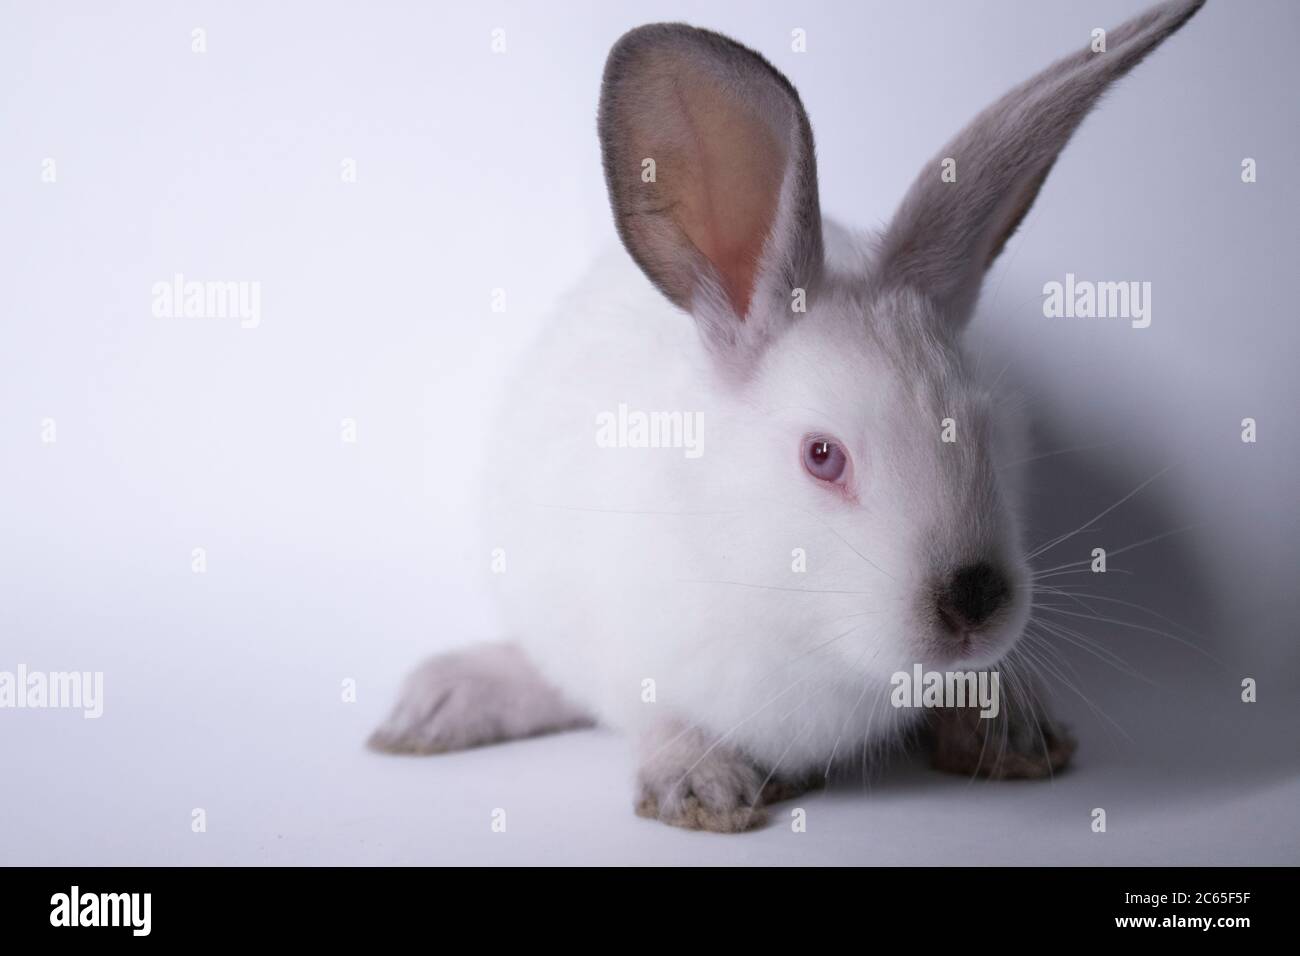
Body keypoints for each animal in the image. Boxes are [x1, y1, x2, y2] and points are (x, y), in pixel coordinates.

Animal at [371, 0, 1204, 832]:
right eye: (822, 455)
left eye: (986, 431)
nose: (974, 601)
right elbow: (660, 718)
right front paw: (700, 787)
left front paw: (1004, 725)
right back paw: (436, 706)